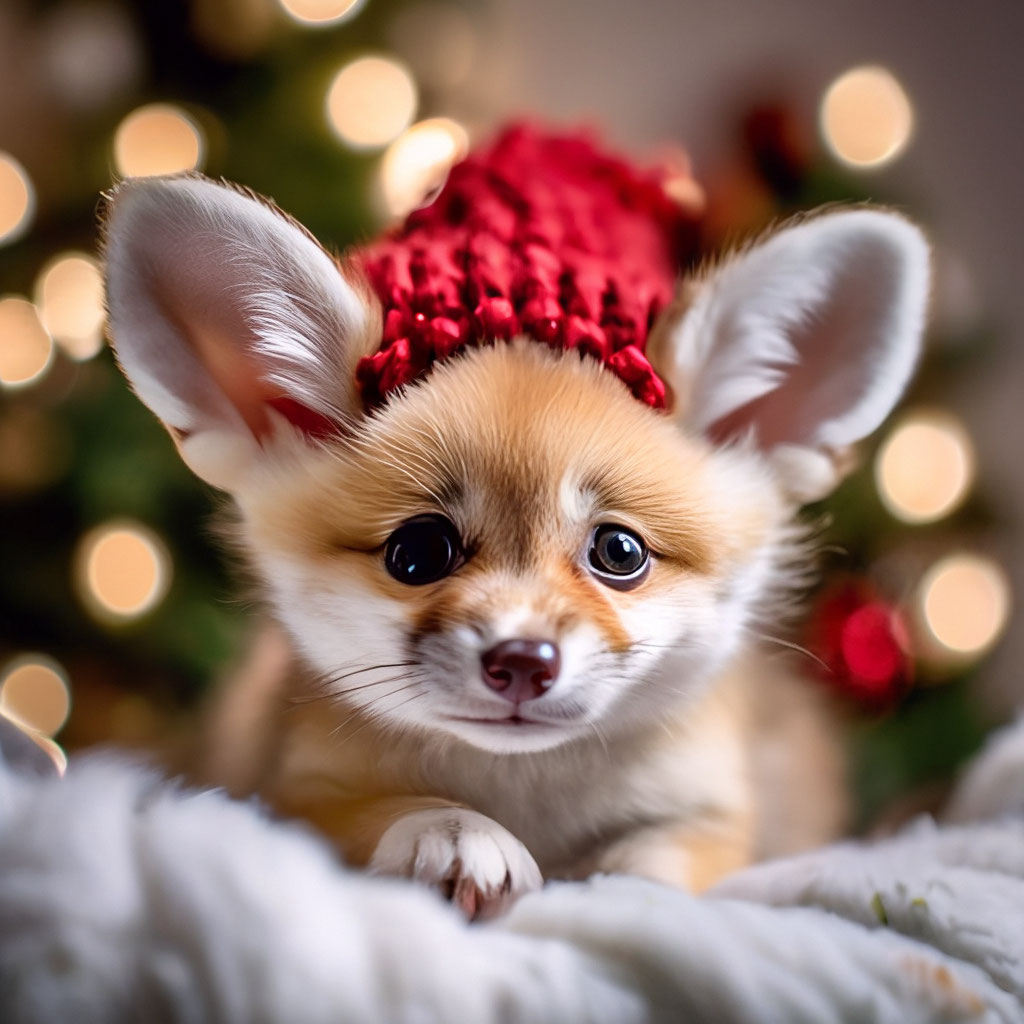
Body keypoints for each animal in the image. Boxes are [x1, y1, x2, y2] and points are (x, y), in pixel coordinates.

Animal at [101, 128, 930, 918]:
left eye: (619, 552)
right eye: (417, 553)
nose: (523, 661)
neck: (527, 794)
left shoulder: (714, 813)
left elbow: (658, 862)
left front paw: (612, 887)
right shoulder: (290, 790)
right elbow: (381, 812)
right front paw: (454, 833)